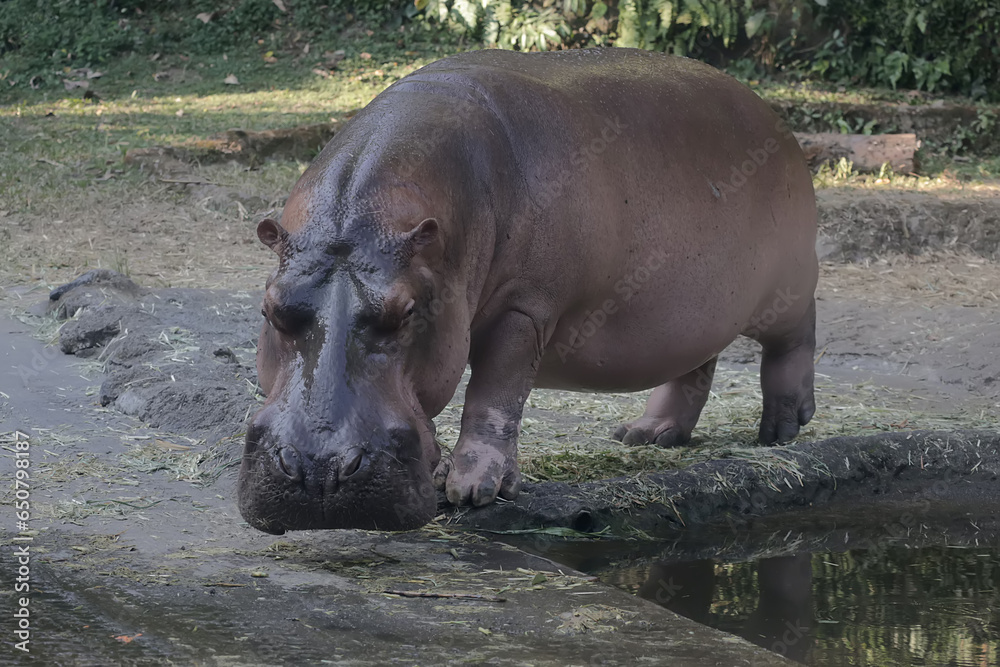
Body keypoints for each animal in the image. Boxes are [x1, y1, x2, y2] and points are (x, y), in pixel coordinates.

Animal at [238, 48, 818, 534]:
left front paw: (473, 491)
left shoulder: (525, 308)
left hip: (785, 288)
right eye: (270, 309)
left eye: (406, 312)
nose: (320, 469)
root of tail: (771, 115)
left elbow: (495, 395)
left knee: (795, 338)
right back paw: (646, 434)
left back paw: (781, 428)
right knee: (696, 364)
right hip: (695, 308)